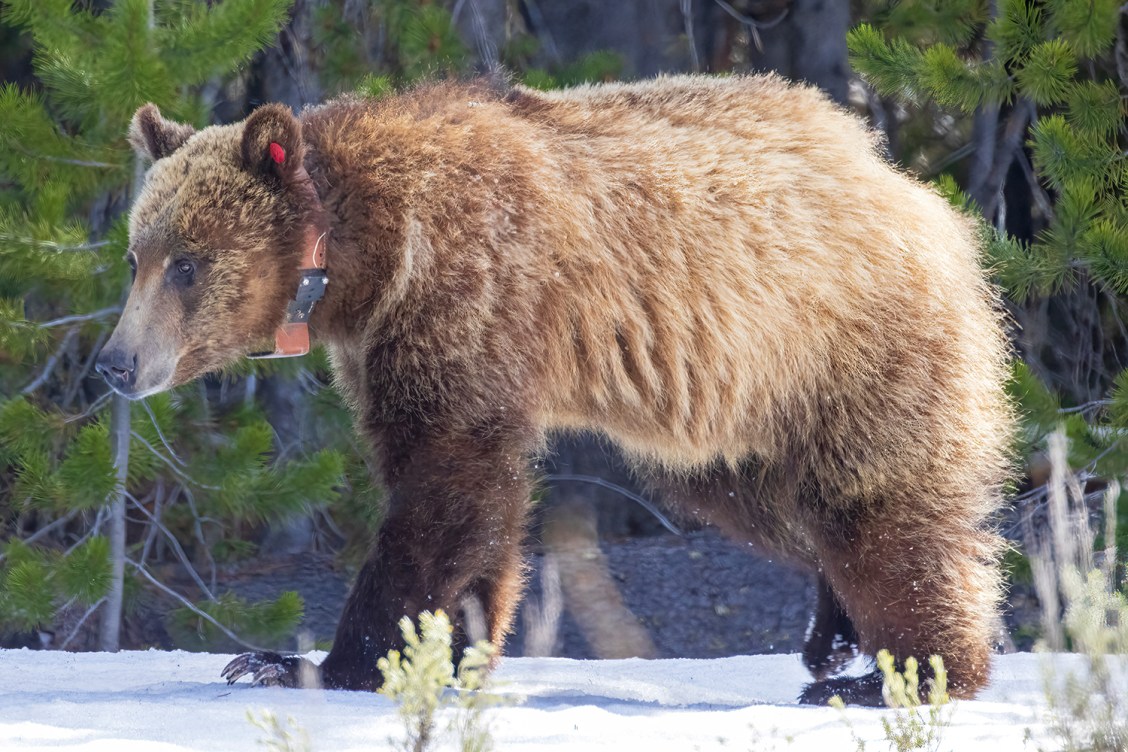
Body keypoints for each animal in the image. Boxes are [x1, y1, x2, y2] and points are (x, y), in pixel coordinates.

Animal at [97, 74, 1012, 706]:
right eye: (136, 257)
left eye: (188, 263)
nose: (115, 363)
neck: (359, 257)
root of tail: (922, 197)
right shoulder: (392, 344)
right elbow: (475, 502)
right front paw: (452, 647)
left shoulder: (461, 291)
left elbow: (446, 486)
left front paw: (314, 661)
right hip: (739, 399)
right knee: (767, 495)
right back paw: (834, 637)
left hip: (841, 344)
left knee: (879, 507)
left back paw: (904, 670)